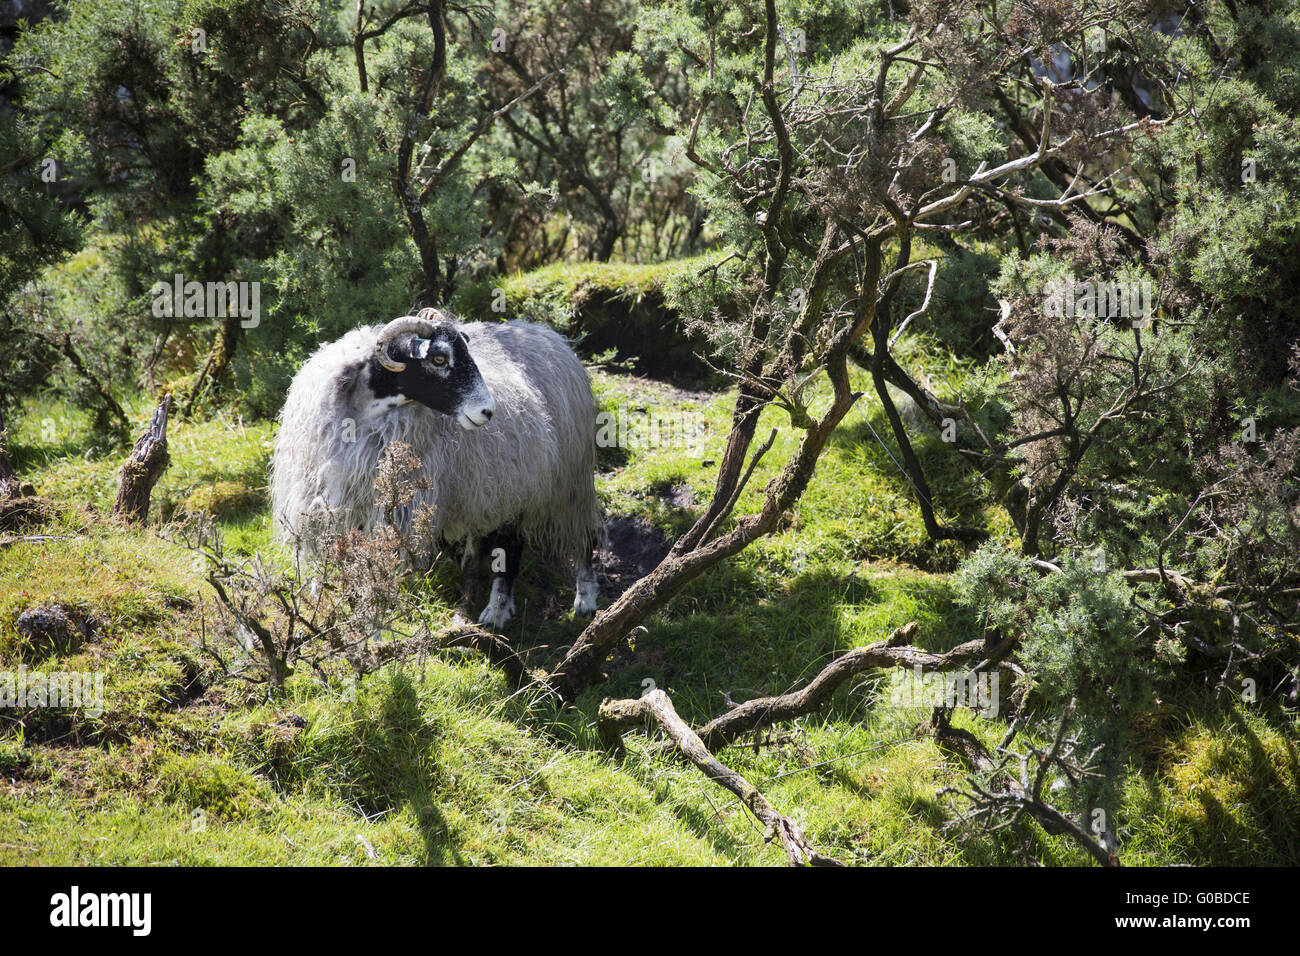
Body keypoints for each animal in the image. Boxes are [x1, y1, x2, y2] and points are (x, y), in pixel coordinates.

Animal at [269, 307, 602, 628]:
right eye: (439, 358)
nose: (487, 411)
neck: (363, 417)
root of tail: (548, 335)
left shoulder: (397, 511)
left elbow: (381, 566)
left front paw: (374, 626)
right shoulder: (332, 501)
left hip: (563, 477)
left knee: (563, 538)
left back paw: (564, 600)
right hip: (505, 487)